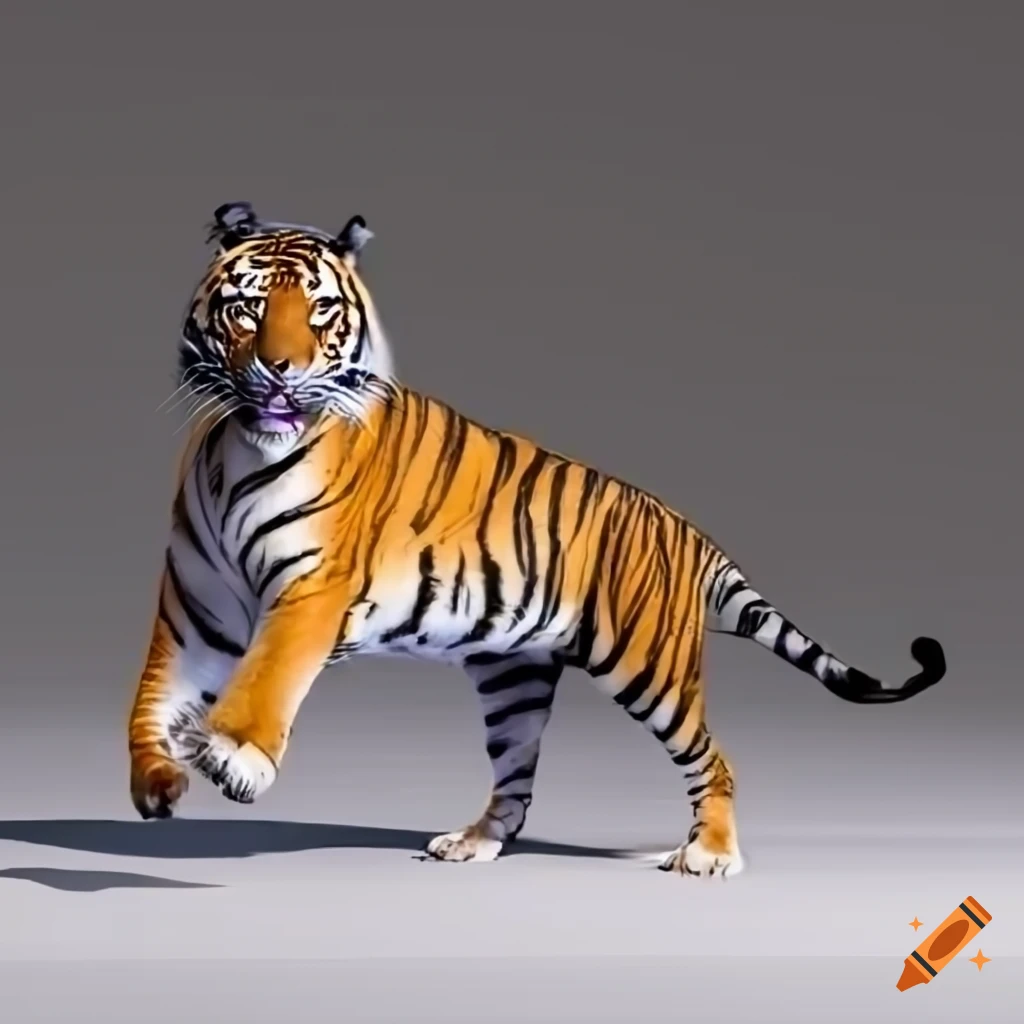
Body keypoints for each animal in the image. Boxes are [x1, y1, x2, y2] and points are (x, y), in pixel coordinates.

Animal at [127, 201, 946, 879]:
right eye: (249, 307)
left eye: (321, 309)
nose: (281, 370)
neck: (241, 452)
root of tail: (688, 531)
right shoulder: (196, 608)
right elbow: (150, 699)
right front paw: (156, 781)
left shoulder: (312, 587)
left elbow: (267, 675)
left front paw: (232, 754)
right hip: (512, 677)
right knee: (517, 782)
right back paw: (472, 843)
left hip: (648, 667)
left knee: (714, 761)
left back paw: (708, 855)